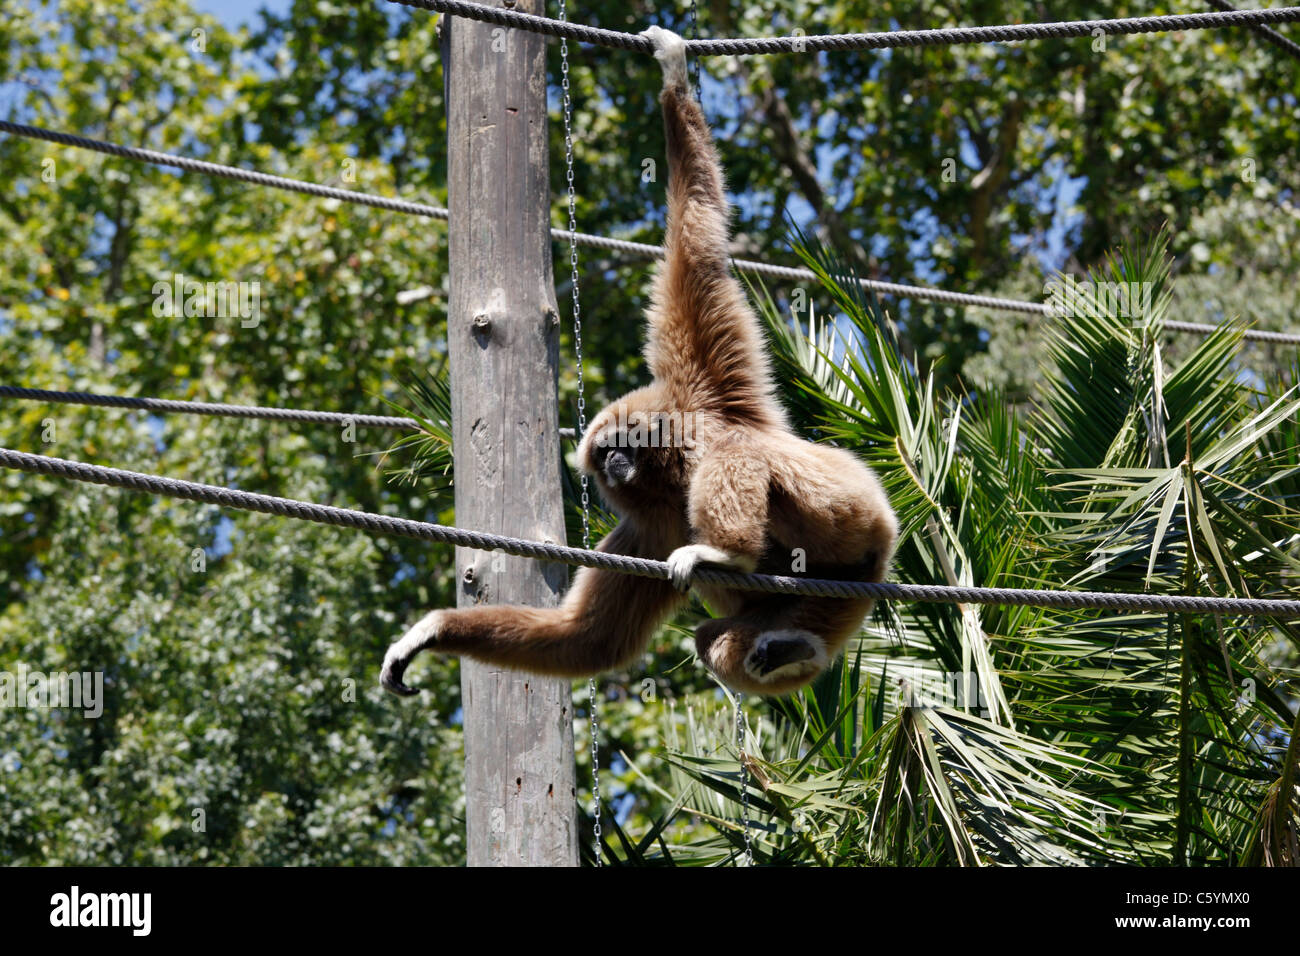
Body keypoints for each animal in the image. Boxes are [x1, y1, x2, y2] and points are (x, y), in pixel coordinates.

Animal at [381, 26, 898, 698]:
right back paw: (788, 649)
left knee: (738, 450)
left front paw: (673, 74)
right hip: (838, 595)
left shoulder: (702, 381)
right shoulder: (645, 531)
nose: (614, 462)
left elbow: (695, 239)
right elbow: (587, 641)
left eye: (615, 447)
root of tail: (880, 553)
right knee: (721, 637)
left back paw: (726, 556)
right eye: (602, 457)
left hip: (855, 524)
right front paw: (432, 631)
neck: (670, 478)